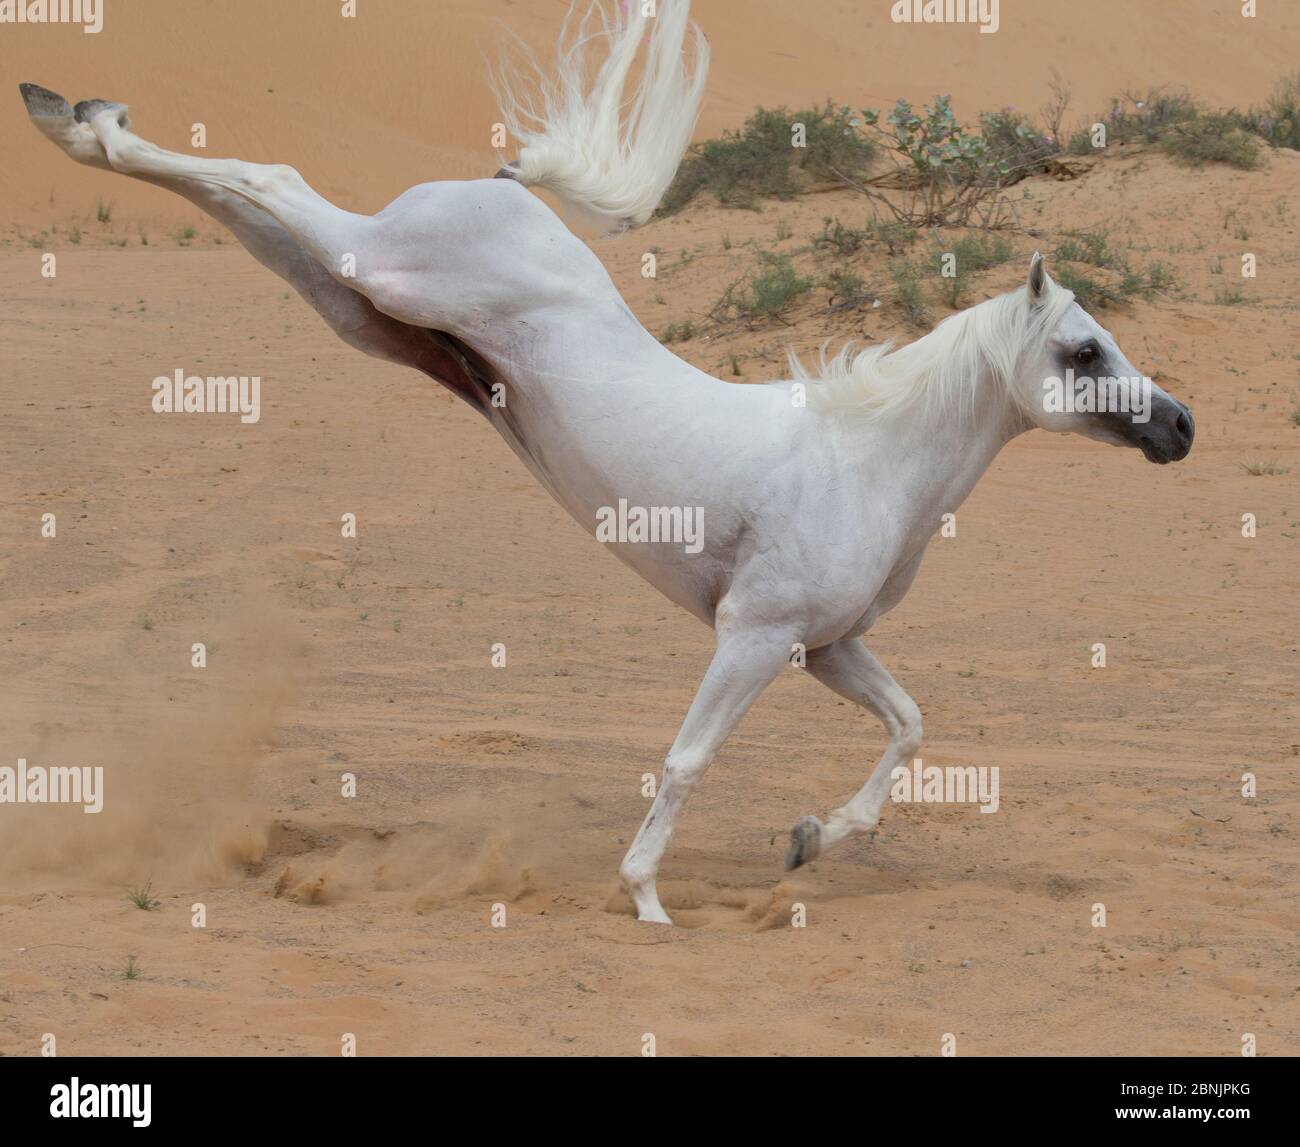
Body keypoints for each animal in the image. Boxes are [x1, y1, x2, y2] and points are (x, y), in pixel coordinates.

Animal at [20, 0, 1193, 925]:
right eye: (1083, 351)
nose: (1179, 427)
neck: (867, 461)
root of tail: (500, 187)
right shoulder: (751, 636)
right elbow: (688, 757)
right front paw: (648, 896)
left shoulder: (824, 647)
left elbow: (908, 727)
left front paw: (810, 839)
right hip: (381, 271)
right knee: (267, 174)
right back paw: (75, 117)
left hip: (355, 308)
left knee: (244, 203)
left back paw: (75, 117)